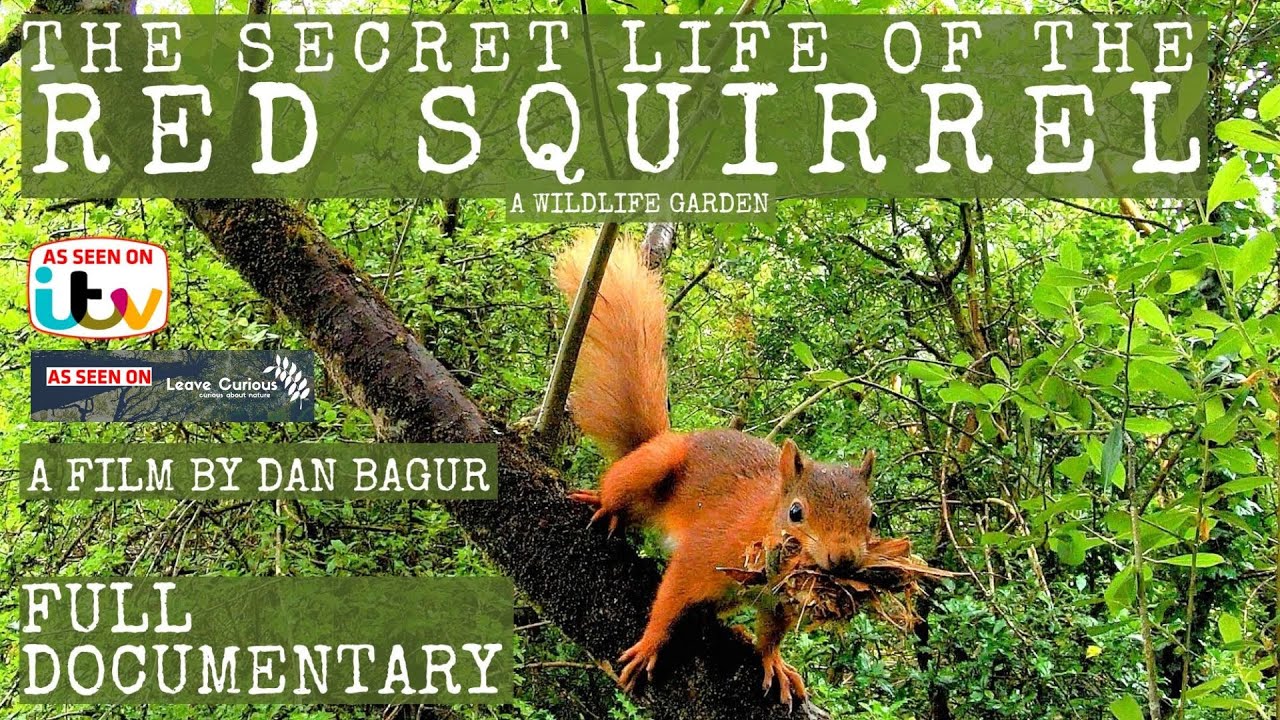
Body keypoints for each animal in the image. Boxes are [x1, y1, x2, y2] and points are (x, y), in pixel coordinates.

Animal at [555, 234, 878, 707]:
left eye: (872, 518)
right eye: (796, 513)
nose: (844, 559)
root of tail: (655, 441)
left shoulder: (777, 602)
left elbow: (773, 635)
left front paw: (775, 663)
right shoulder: (708, 550)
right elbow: (671, 596)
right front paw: (650, 644)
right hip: (654, 464)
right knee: (618, 488)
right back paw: (605, 504)